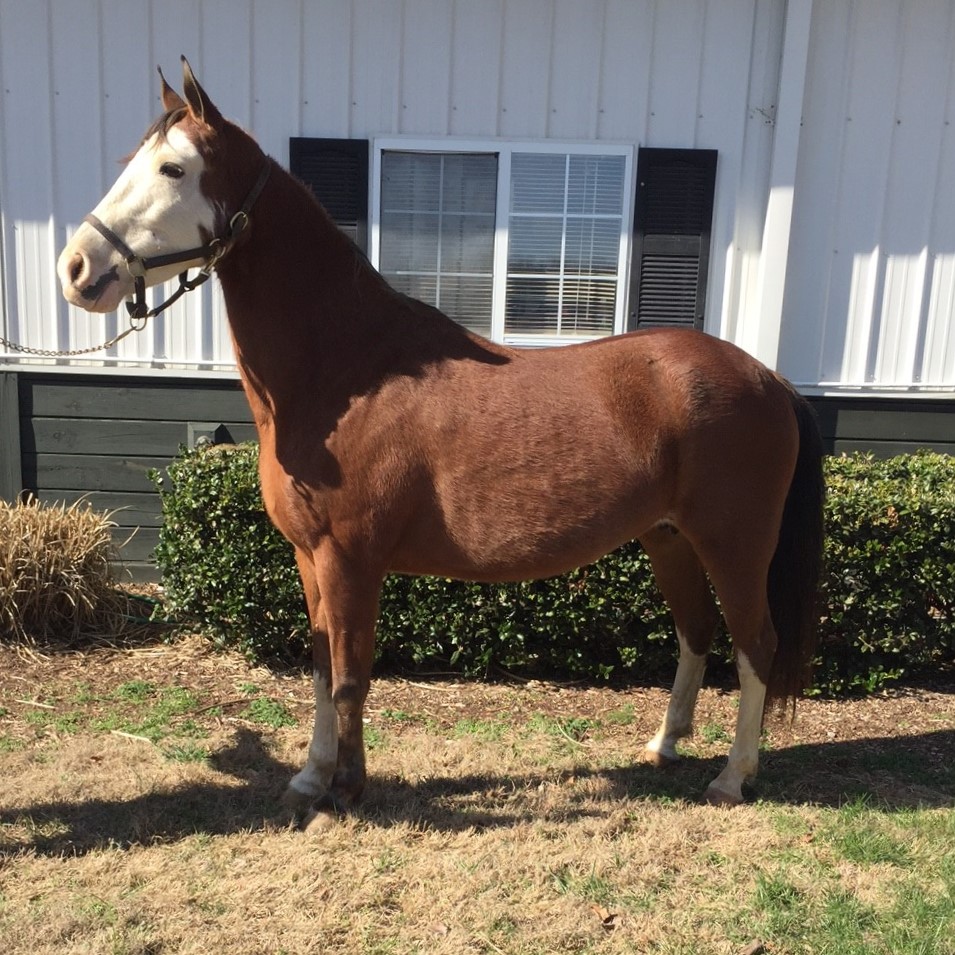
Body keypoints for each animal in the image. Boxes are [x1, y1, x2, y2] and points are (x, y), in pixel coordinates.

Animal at [58, 59, 824, 815]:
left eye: (173, 169)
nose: (76, 268)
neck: (347, 370)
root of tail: (766, 377)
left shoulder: (350, 560)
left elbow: (350, 675)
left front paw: (347, 787)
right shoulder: (310, 559)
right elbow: (320, 667)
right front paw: (310, 776)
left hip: (733, 543)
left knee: (755, 644)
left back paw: (732, 776)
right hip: (668, 538)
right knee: (696, 633)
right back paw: (663, 745)